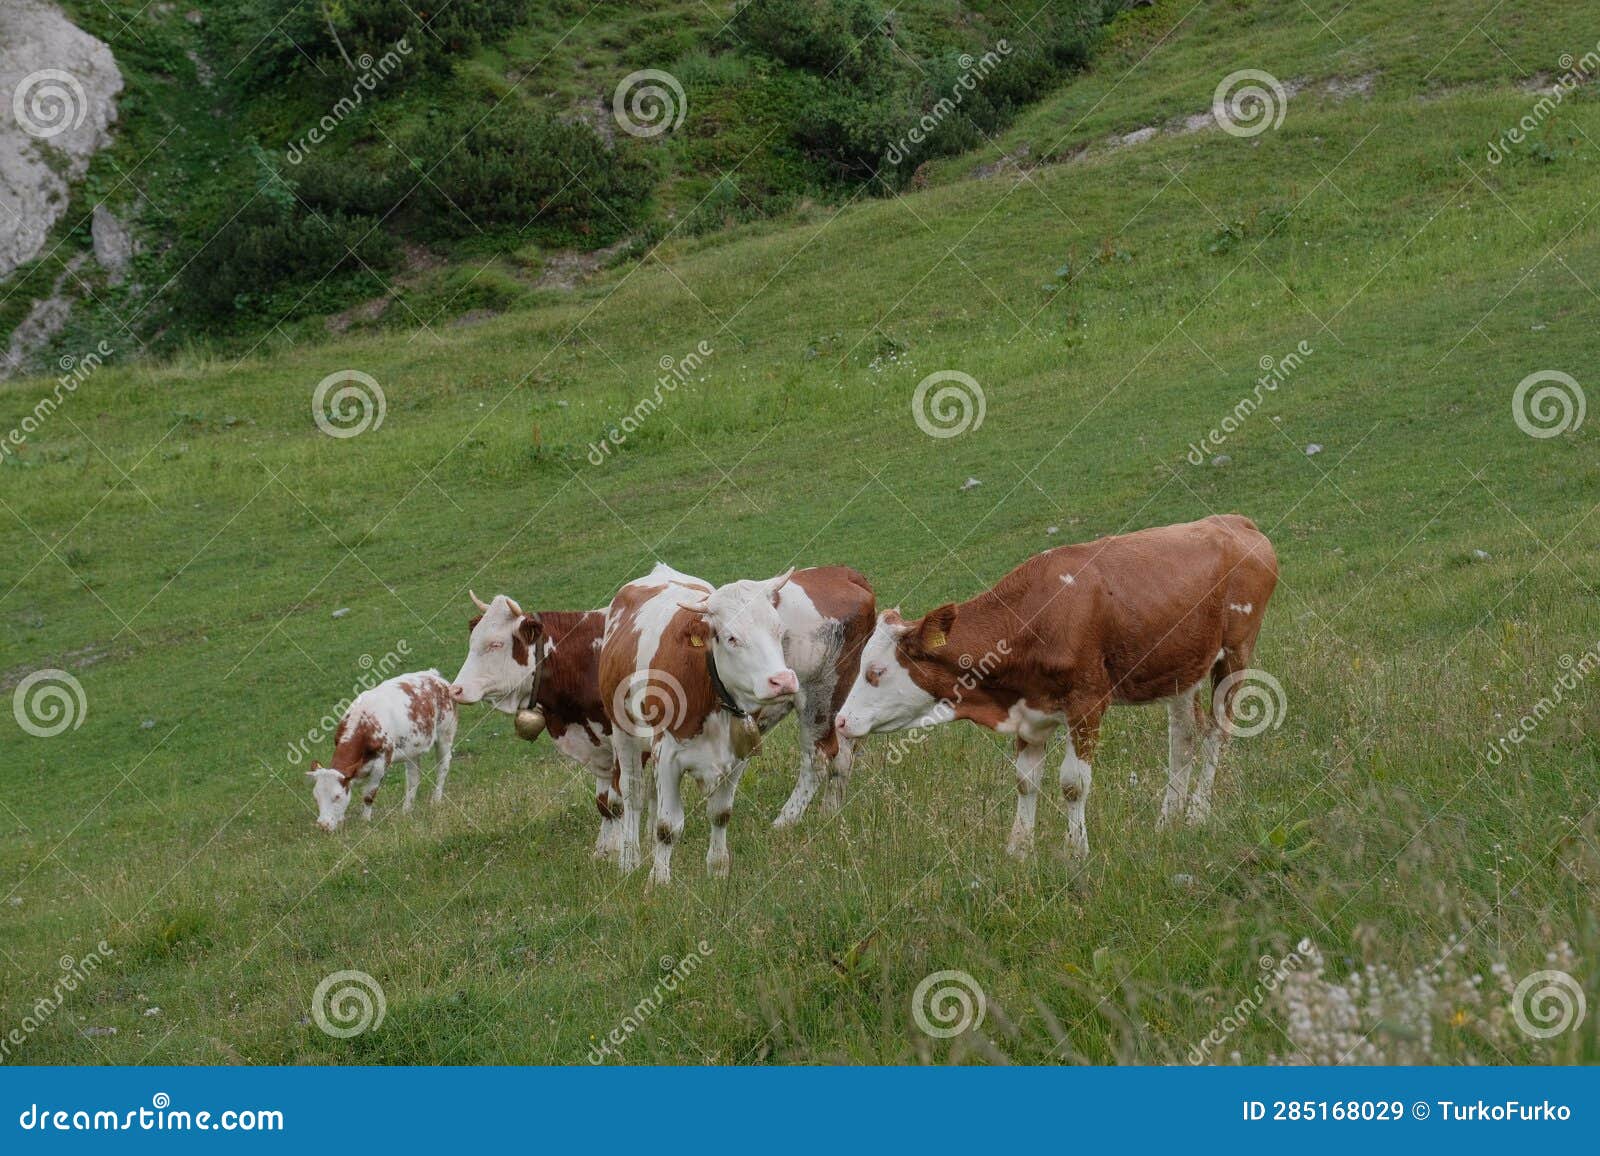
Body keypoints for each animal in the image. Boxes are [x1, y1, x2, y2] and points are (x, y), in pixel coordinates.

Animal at [306, 670, 458, 832]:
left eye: (337, 796)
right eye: (316, 797)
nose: (323, 825)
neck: (365, 723)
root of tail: (434, 675)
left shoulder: (381, 763)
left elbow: (368, 795)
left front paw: (365, 821)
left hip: (445, 734)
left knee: (443, 767)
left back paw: (436, 800)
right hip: (412, 749)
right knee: (413, 778)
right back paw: (406, 810)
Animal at [449, 594, 621, 856]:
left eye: (496, 644)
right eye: (472, 641)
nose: (455, 690)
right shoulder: (598, 747)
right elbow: (605, 803)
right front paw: (603, 853)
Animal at [599, 563, 798, 884]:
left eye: (778, 630)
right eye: (731, 638)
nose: (782, 681)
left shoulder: (739, 757)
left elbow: (720, 813)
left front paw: (717, 869)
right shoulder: (667, 755)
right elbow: (668, 827)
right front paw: (658, 881)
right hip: (623, 733)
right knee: (632, 792)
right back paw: (629, 859)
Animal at [834, 515, 1278, 858]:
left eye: (876, 672)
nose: (839, 722)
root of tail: (1236, 521)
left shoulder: (1087, 702)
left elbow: (1072, 784)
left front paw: (1076, 850)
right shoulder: (1031, 711)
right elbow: (1025, 781)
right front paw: (1018, 852)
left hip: (1235, 653)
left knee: (1216, 733)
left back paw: (1198, 813)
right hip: (1182, 669)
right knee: (1183, 737)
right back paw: (1167, 821)